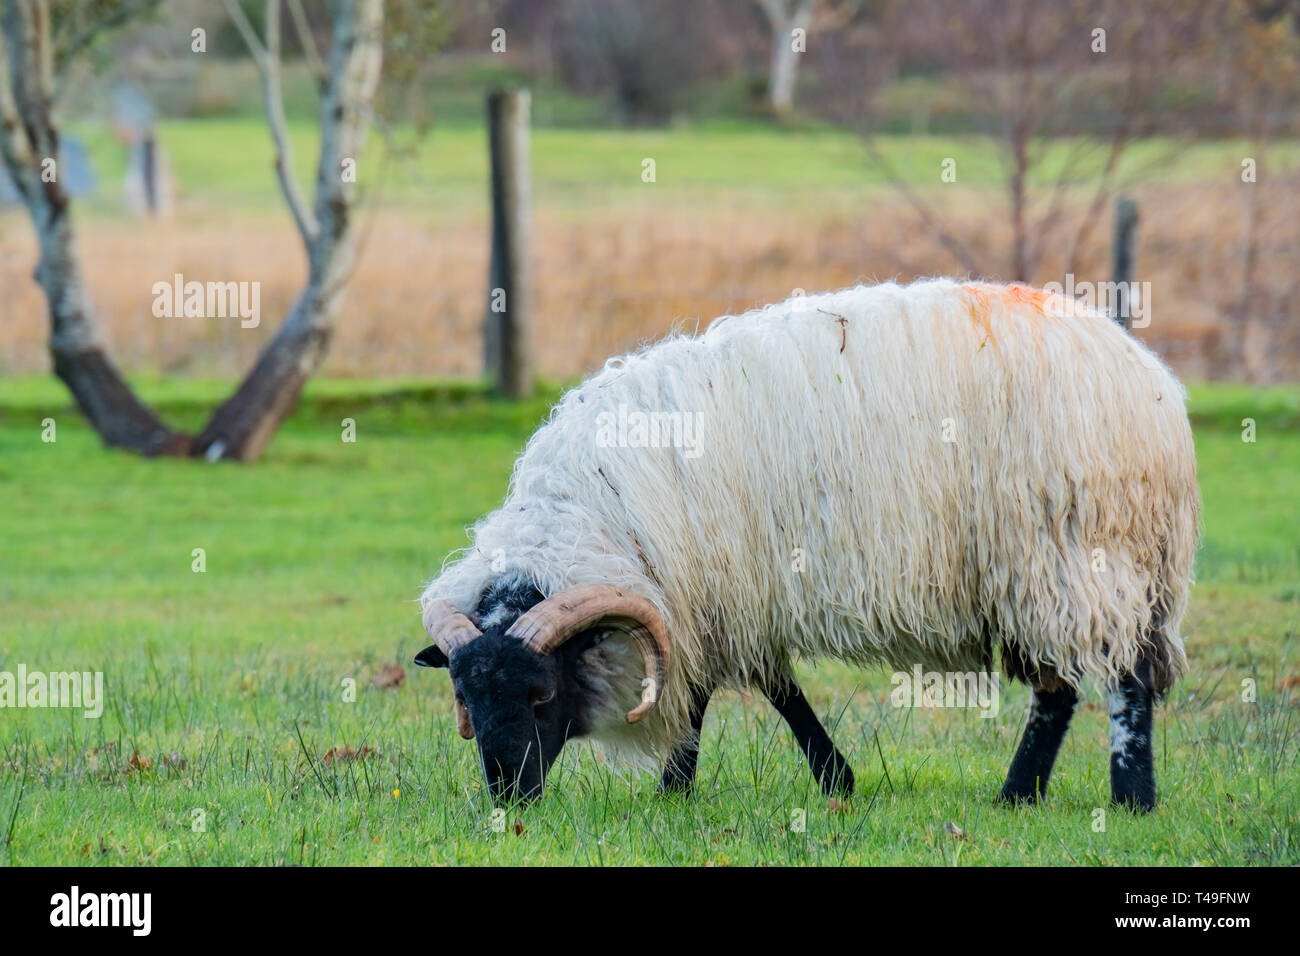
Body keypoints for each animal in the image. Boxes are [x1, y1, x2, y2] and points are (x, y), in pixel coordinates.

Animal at [415, 277, 1200, 810]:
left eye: (542, 692)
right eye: (463, 693)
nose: (509, 797)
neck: (598, 519)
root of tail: (1150, 383)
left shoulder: (721, 593)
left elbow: (743, 693)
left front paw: (712, 783)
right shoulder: (718, 600)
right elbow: (762, 689)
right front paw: (704, 784)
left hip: (1077, 552)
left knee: (1123, 676)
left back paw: (1129, 796)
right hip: (1055, 569)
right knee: (1059, 686)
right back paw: (1020, 795)